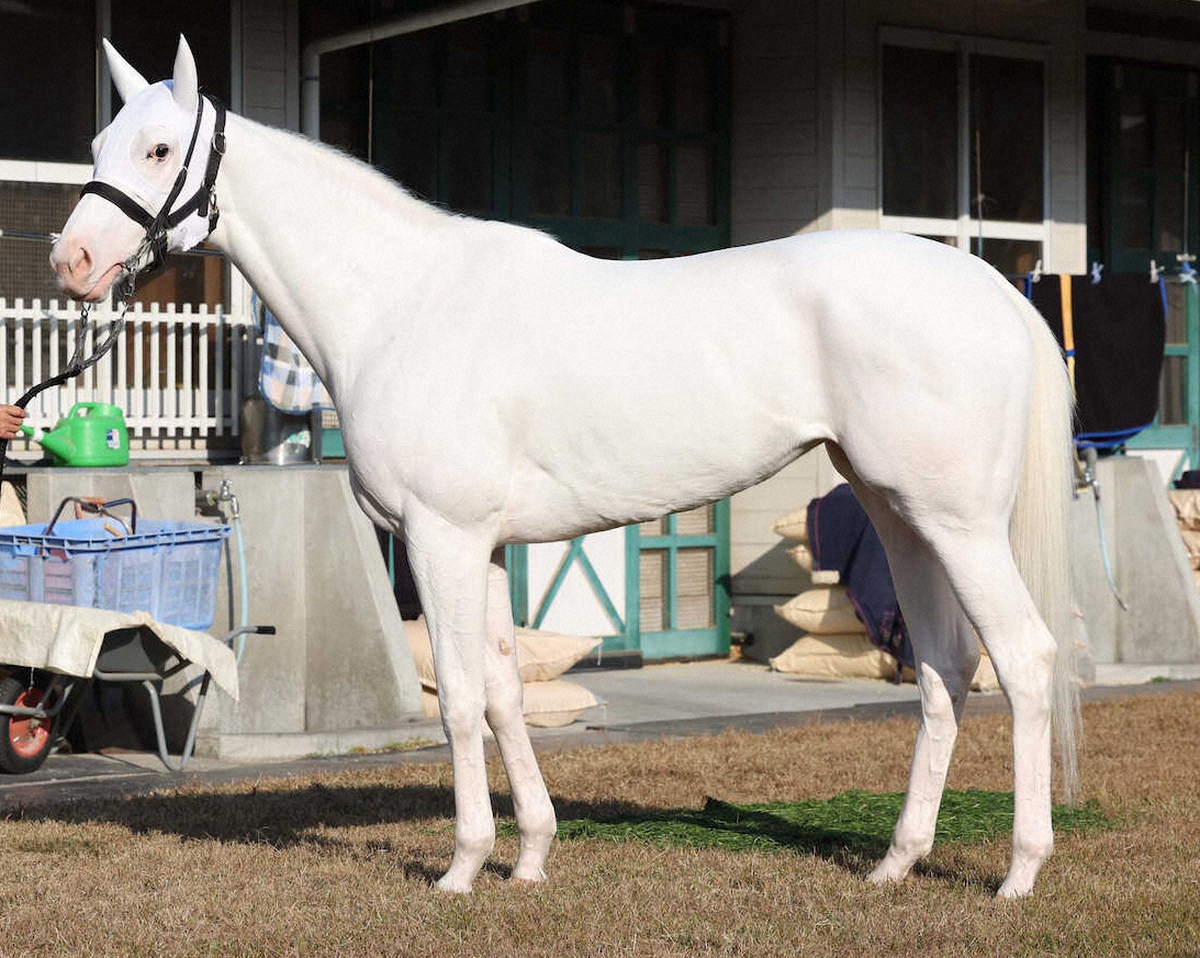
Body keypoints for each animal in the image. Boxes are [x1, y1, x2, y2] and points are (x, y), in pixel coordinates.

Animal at [51, 36, 1079, 899]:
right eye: (96, 140)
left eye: (156, 150)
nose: (73, 262)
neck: (402, 303)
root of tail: (990, 286)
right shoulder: (483, 548)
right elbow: (507, 693)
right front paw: (531, 857)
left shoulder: (441, 540)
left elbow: (461, 698)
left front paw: (462, 869)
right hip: (901, 515)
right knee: (944, 670)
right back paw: (896, 864)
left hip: (959, 525)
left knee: (1024, 661)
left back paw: (1020, 874)